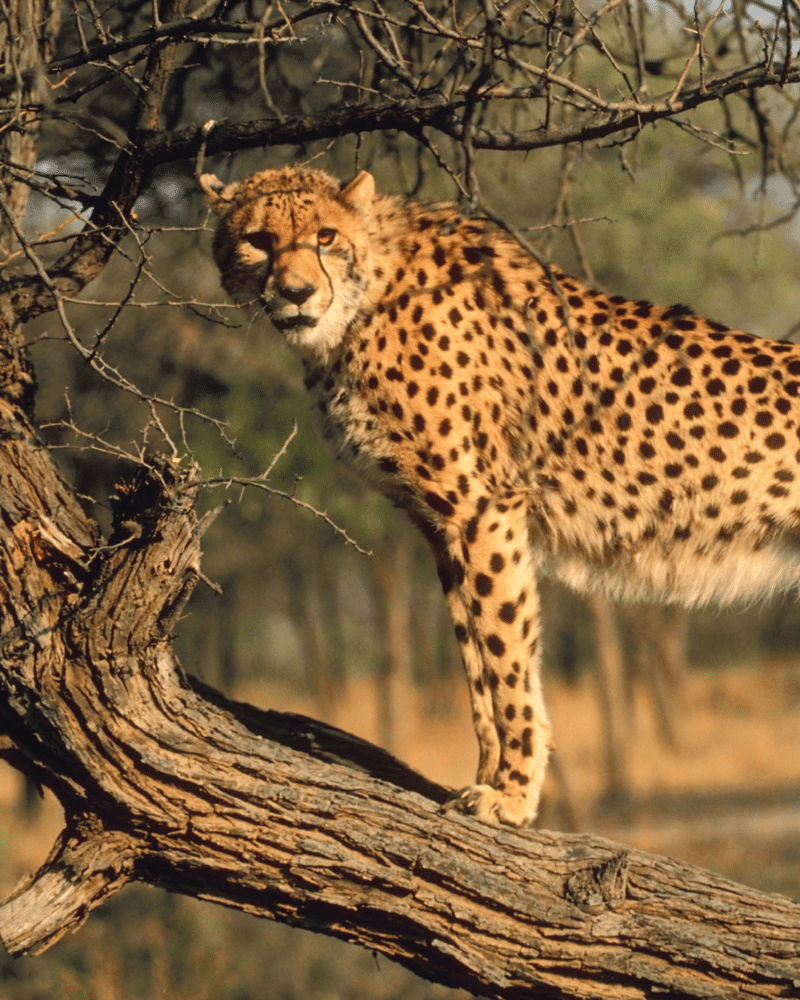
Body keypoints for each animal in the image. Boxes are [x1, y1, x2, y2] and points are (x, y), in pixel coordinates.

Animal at [201, 164, 800, 827]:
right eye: (259, 240)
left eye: (325, 237)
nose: (296, 292)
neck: (362, 306)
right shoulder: (438, 525)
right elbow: (475, 660)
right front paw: (489, 775)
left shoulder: (483, 508)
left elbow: (506, 655)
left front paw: (512, 795)